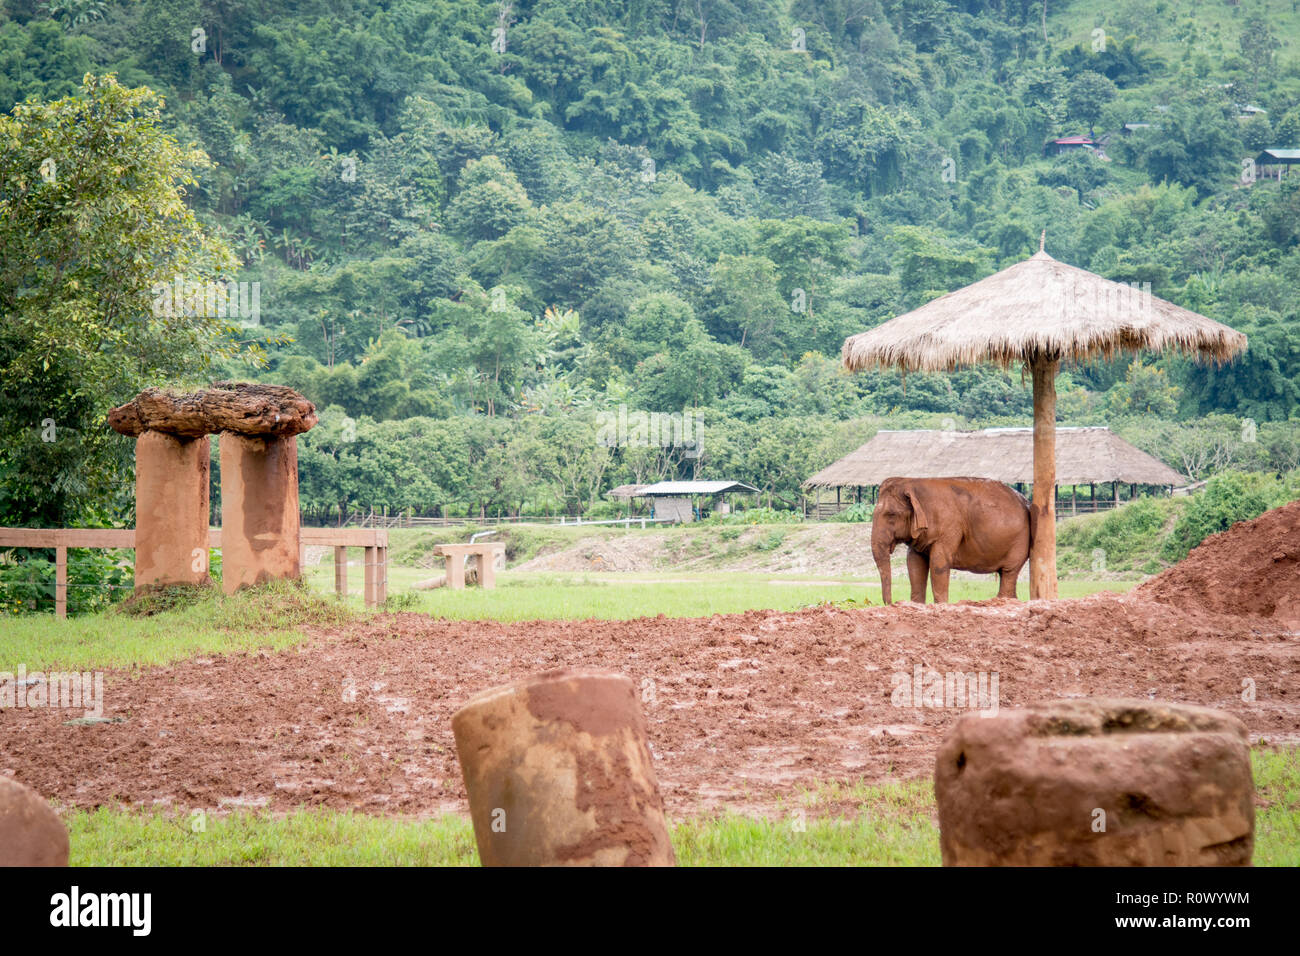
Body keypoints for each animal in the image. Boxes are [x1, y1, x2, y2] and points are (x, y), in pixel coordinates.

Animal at [871, 477, 1033, 604]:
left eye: (891, 515)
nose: (893, 603)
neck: (912, 483)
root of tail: (1026, 501)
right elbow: (914, 564)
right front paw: (917, 605)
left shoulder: (950, 526)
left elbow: (938, 563)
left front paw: (941, 605)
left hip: (1020, 542)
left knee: (1009, 572)